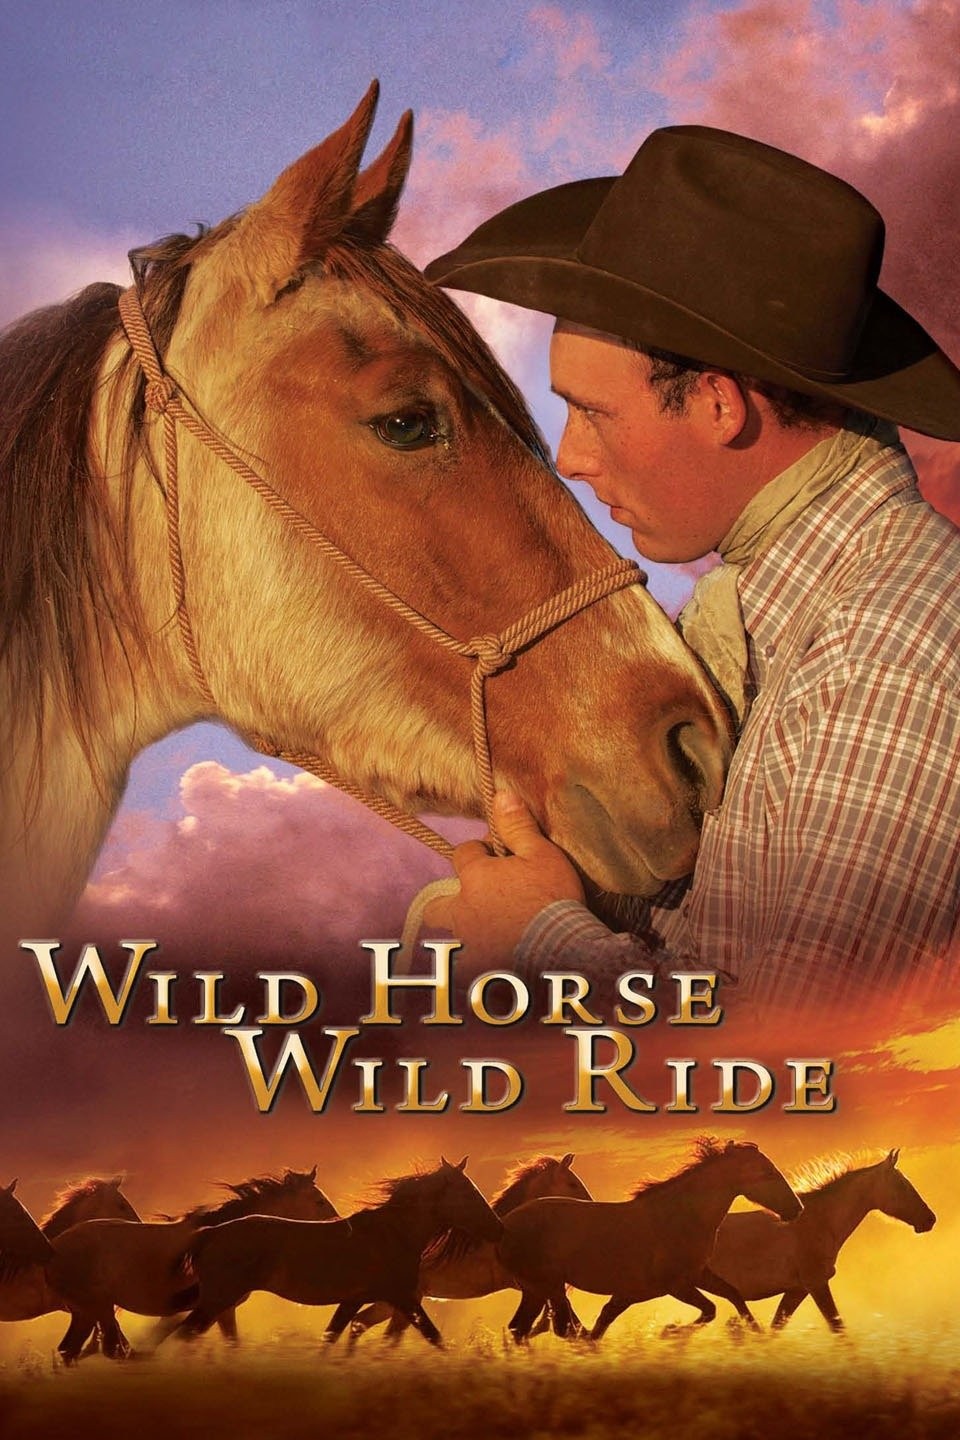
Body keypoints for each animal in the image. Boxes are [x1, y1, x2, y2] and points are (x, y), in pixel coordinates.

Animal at [172, 1157, 502, 1348]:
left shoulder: (354, 1300)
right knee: (183, 1335)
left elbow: (331, 1338)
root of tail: (209, 1233)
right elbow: (435, 1338)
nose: (498, 1227)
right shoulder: (403, 1298)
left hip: (218, 1302)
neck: (394, 1233)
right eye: (468, 1192)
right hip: (218, 1300)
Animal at [499, 1138, 802, 1343]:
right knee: (538, 1328)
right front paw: (670, 1332)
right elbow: (710, 1309)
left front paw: (759, 1337)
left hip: (538, 1289)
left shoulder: (696, 1274)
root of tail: (505, 1225)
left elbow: (733, 1296)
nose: (797, 1208)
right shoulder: (675, 1285)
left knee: (522, 1328)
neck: (678, 1217)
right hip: (545, 1286)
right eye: (768, 1172)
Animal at [700, 1148, 935, 1333]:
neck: (819, 1222)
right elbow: (838, 1327)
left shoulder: (798, 1290)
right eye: (902, 1185)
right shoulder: (816, 1283)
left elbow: (776, 1328)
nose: (930, 1219)